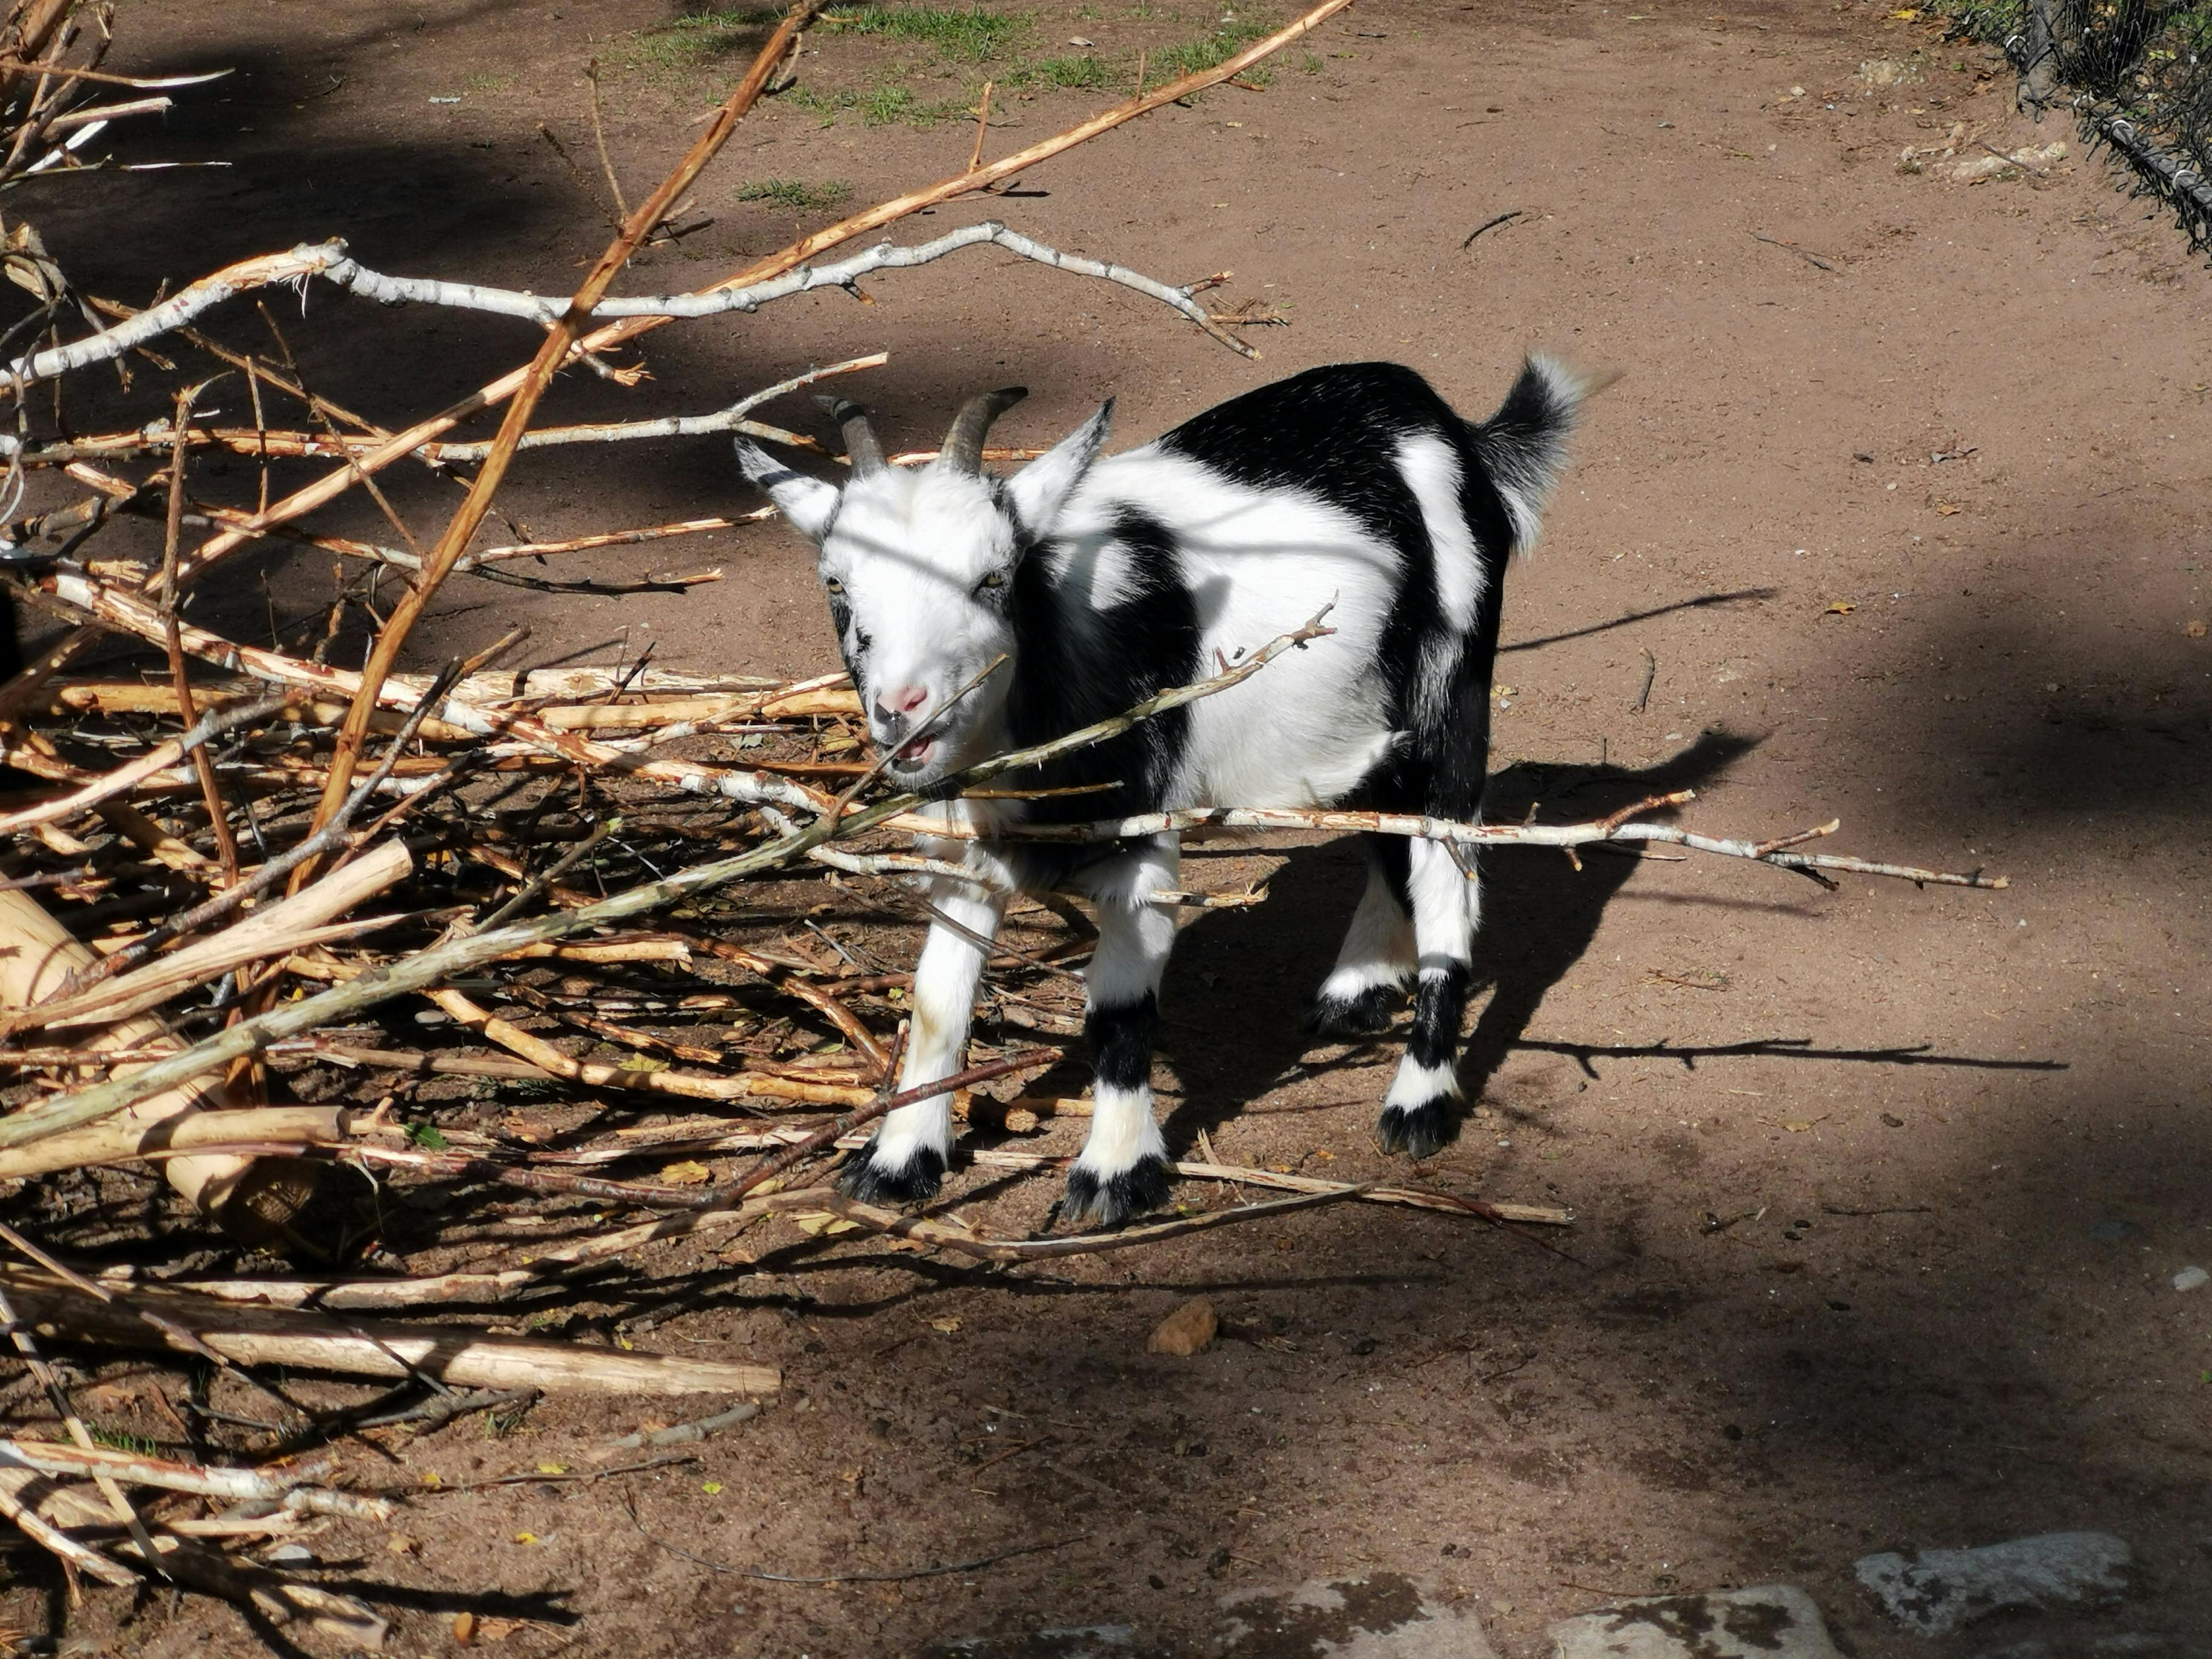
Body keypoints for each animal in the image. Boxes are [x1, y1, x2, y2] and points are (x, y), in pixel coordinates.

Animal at [736, 358, 1597, 1227]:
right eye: (837, 586)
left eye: (993, 578)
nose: (903, 707)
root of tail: (1445, 423)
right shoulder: (969, 850)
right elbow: (937, 1000)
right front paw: (897, 1161)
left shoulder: (1141, 844)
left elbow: (1119, 1016)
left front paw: (1114, 1177)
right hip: (1361, 722)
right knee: (1386, 828)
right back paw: (1355, 990)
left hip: (1454, 690)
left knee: (1446, 865)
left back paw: (1419, 1101)